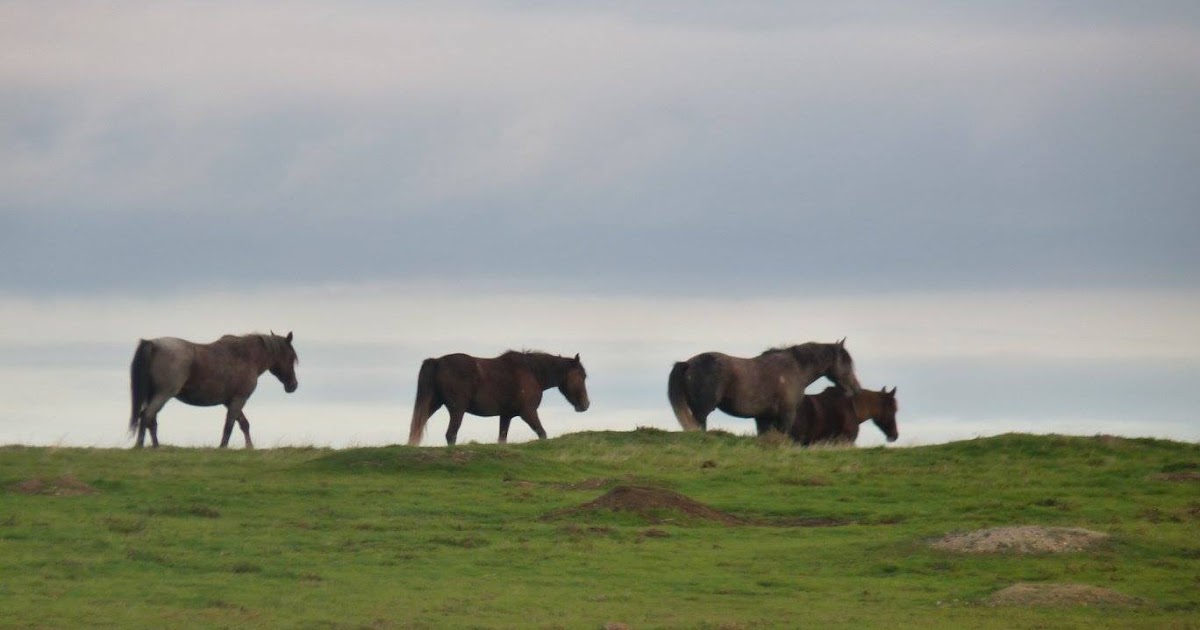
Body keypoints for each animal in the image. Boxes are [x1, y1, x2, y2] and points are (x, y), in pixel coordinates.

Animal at [128, 331, 299, 449]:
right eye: (291, 357)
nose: (293, 385)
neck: (246, 356)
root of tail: (154, 344)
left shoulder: (229, 401)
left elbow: (243, 424)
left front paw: (249, 447)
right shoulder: (239, 399)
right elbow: (229, 425)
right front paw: (223, 447)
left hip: (153, 395)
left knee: (150, 419)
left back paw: (155, 446)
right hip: (163, 394)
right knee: (147, 416)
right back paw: (141, 446)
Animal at [407, 350, 590, 446]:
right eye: (582, 376)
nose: (586, 405)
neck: (532, 372)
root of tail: (437, 361)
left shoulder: (506, 416)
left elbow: (502, 439)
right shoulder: (528, 412)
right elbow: (542, 434)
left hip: (433, 404)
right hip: (457, 410)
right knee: (451, 435)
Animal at [668, 339, 862, 435]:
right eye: (846, 362)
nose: (856, 389)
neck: (795, 368)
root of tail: (688, 363)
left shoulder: (763, 418)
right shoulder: (786, 414)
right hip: (702, 411)